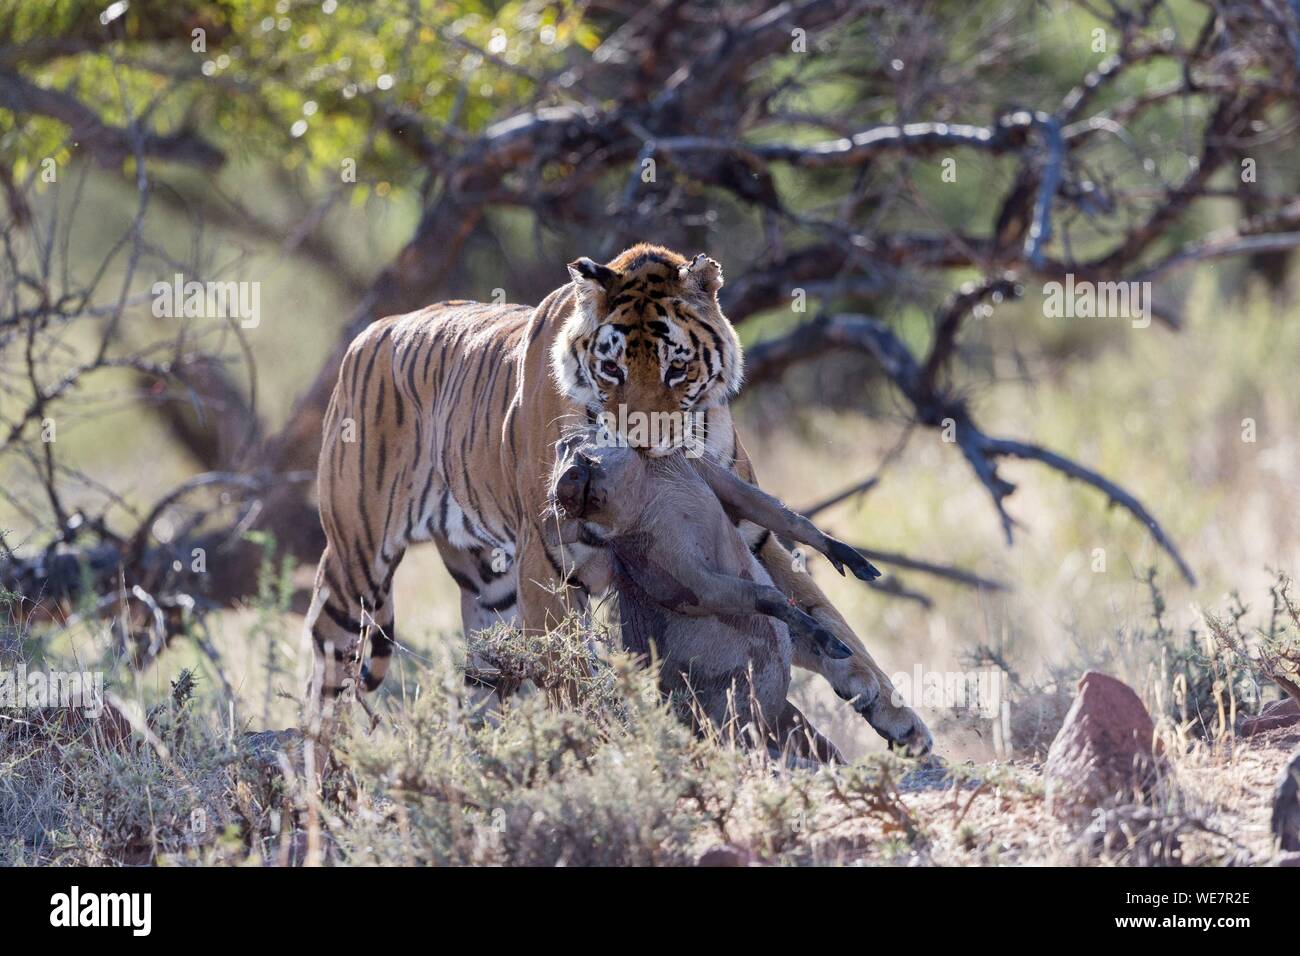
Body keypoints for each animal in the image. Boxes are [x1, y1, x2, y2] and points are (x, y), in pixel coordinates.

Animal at [306, 243, 932, 754]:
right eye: (611, 368)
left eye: (677, 367)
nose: (645, 445)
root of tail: (372, 329)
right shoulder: (550, 561)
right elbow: (572, 679)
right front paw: (595, 747)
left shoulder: (752, 535)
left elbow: (829, 614)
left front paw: (894, 713)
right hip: (356, 566)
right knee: (322, 682)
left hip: (489, 593)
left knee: (483, 687)